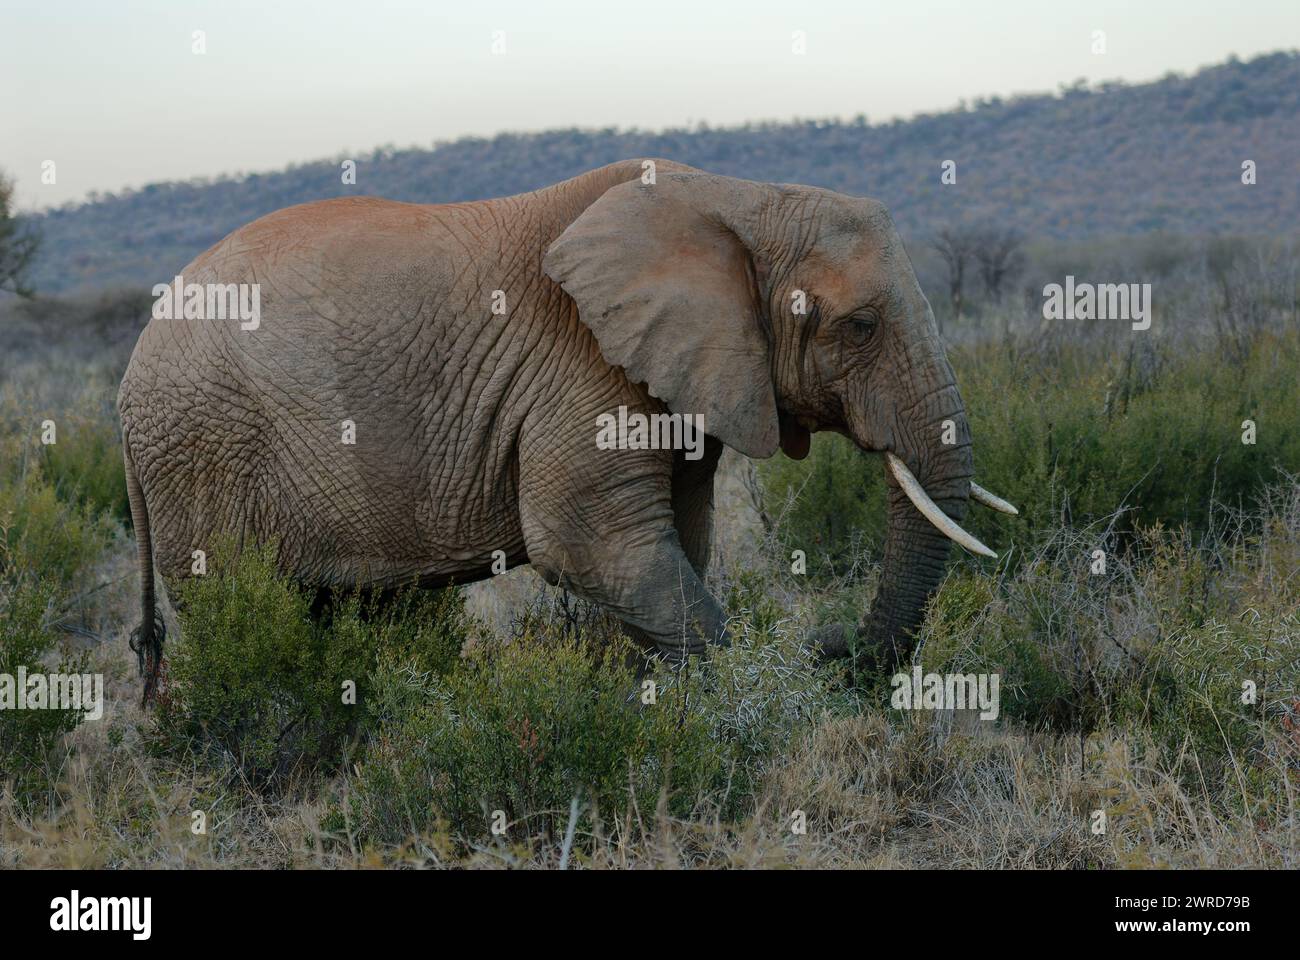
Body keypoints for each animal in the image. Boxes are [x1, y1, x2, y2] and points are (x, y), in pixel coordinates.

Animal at [118, 158, 1016, 703]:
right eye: (861, 326)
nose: (833, 646)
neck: (736, 197)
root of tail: (126, 383)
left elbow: (677, 540)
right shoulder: (581, 366)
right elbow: (594, 545)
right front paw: (750, 698)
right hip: (203, 445)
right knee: (241, 606)